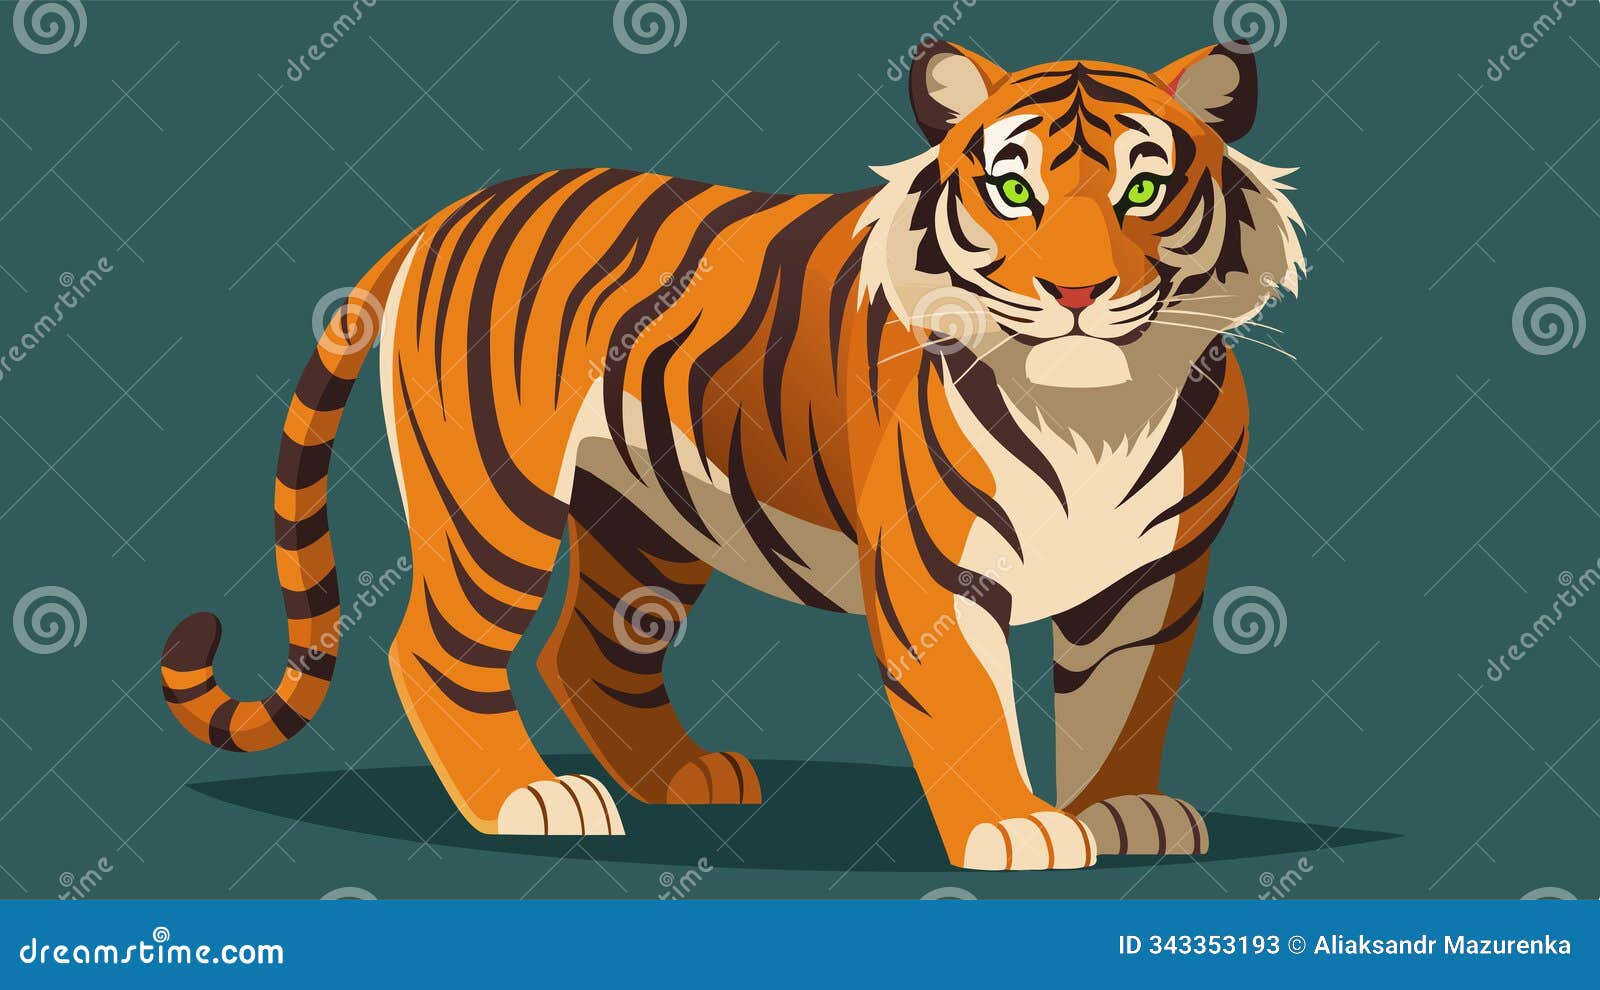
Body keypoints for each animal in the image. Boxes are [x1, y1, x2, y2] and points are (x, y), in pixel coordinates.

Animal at [160, 39, 1304, 871]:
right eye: (1012, 192)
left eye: (1143, 192)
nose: (1074, 294)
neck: (1098, 410)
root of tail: (446, 213)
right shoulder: (935, 572)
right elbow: (969, 705)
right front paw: (1011, 826)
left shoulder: (1157, 571)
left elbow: (1124, 698)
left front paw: (1126, 812)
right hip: (497, 499)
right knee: (436, 649)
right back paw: (526, 797)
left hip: (645, 520)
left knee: (586, 652)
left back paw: (683, 780)